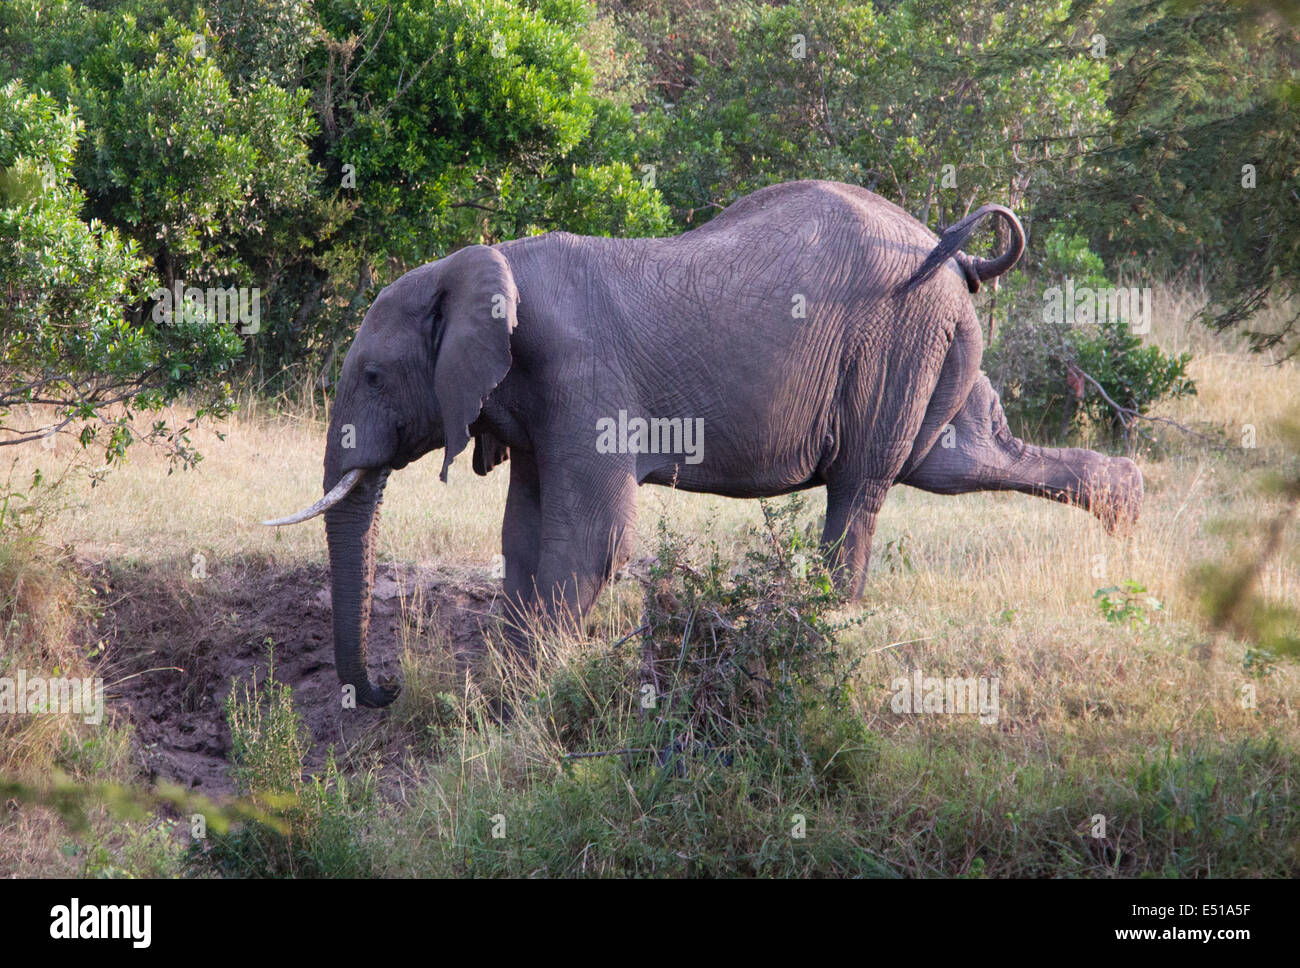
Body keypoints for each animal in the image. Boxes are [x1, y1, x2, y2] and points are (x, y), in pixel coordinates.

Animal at [266, 180, 1142, 708]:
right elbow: (522, 535)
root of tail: (955, 253)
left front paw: (531, 690)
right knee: (953, 458)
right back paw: (1127, 513)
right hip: (934, 346)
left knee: (864, 483)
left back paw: (832, 621)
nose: (386, 689)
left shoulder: (583, 375)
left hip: (900, 338)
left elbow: (588, 541)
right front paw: (505, 681)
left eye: (373, 375)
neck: (481, 265)